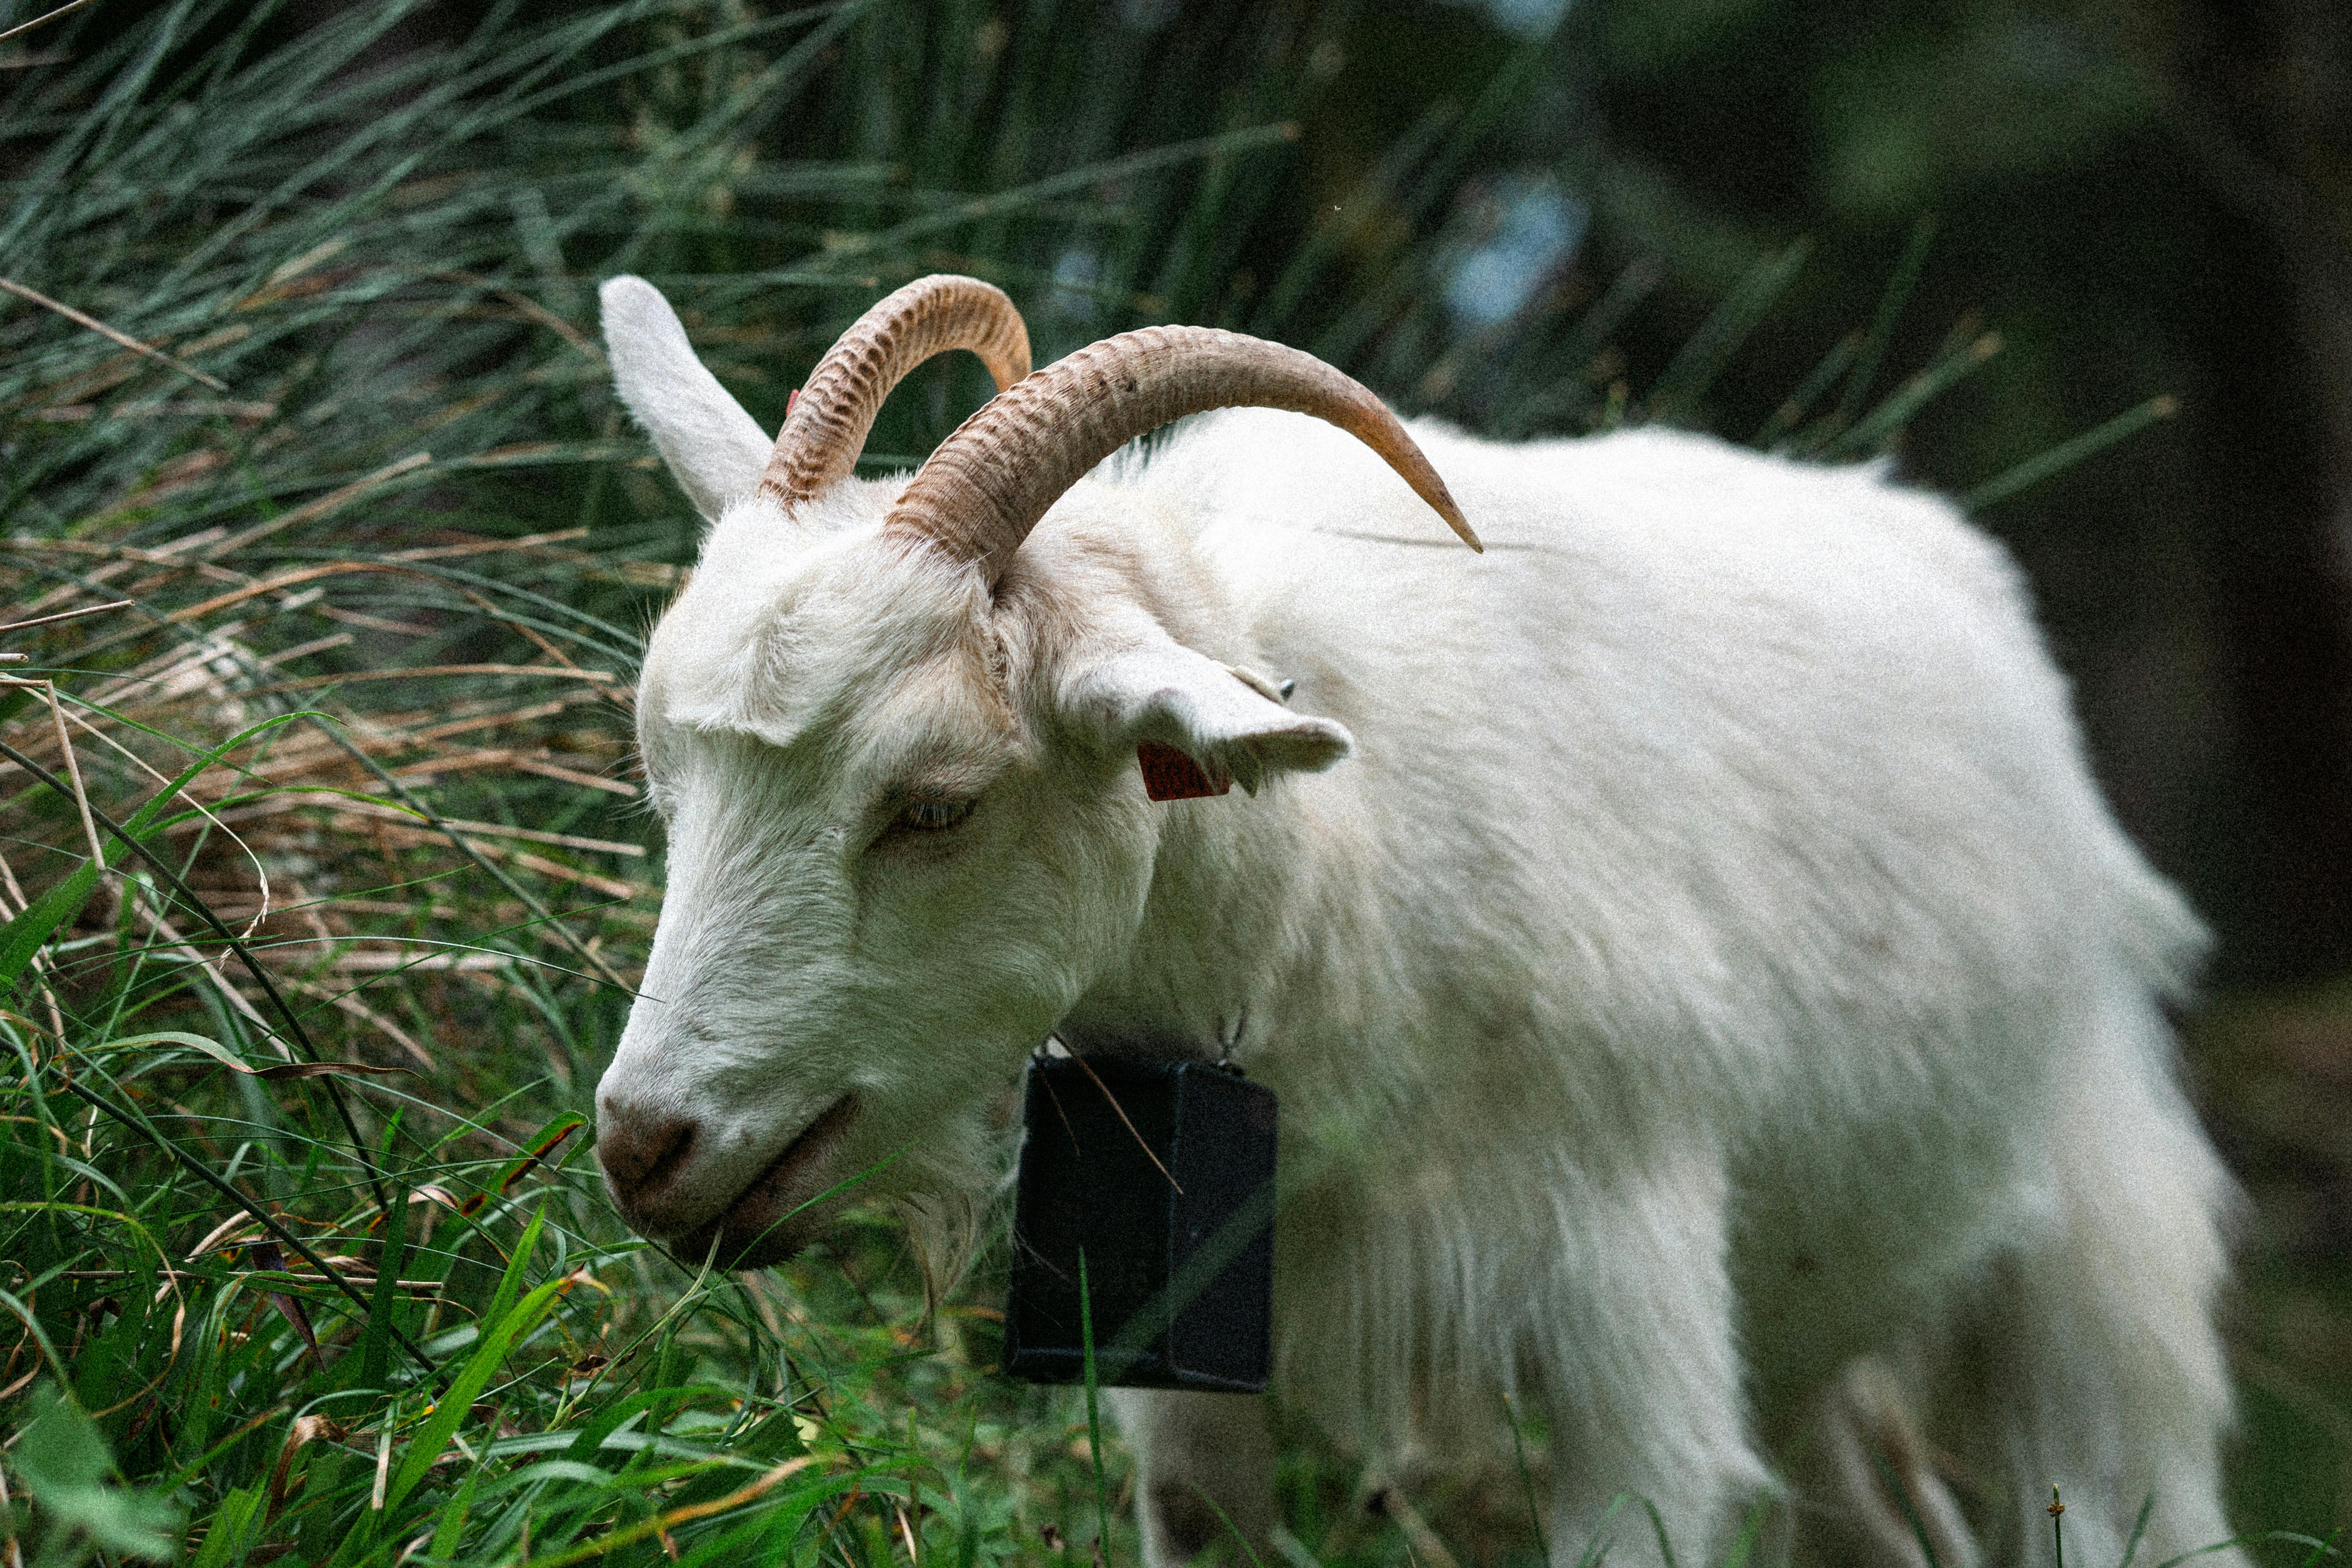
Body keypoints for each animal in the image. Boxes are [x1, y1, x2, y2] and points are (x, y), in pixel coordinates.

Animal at [590, 272, 2243, 1568]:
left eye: (935, 803)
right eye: (665, 770)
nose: (644, 1147)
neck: (1346, 863)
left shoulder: (1627, 1314)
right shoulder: (1188, 1367)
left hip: (2094, 1236)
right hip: (1807, 1317)